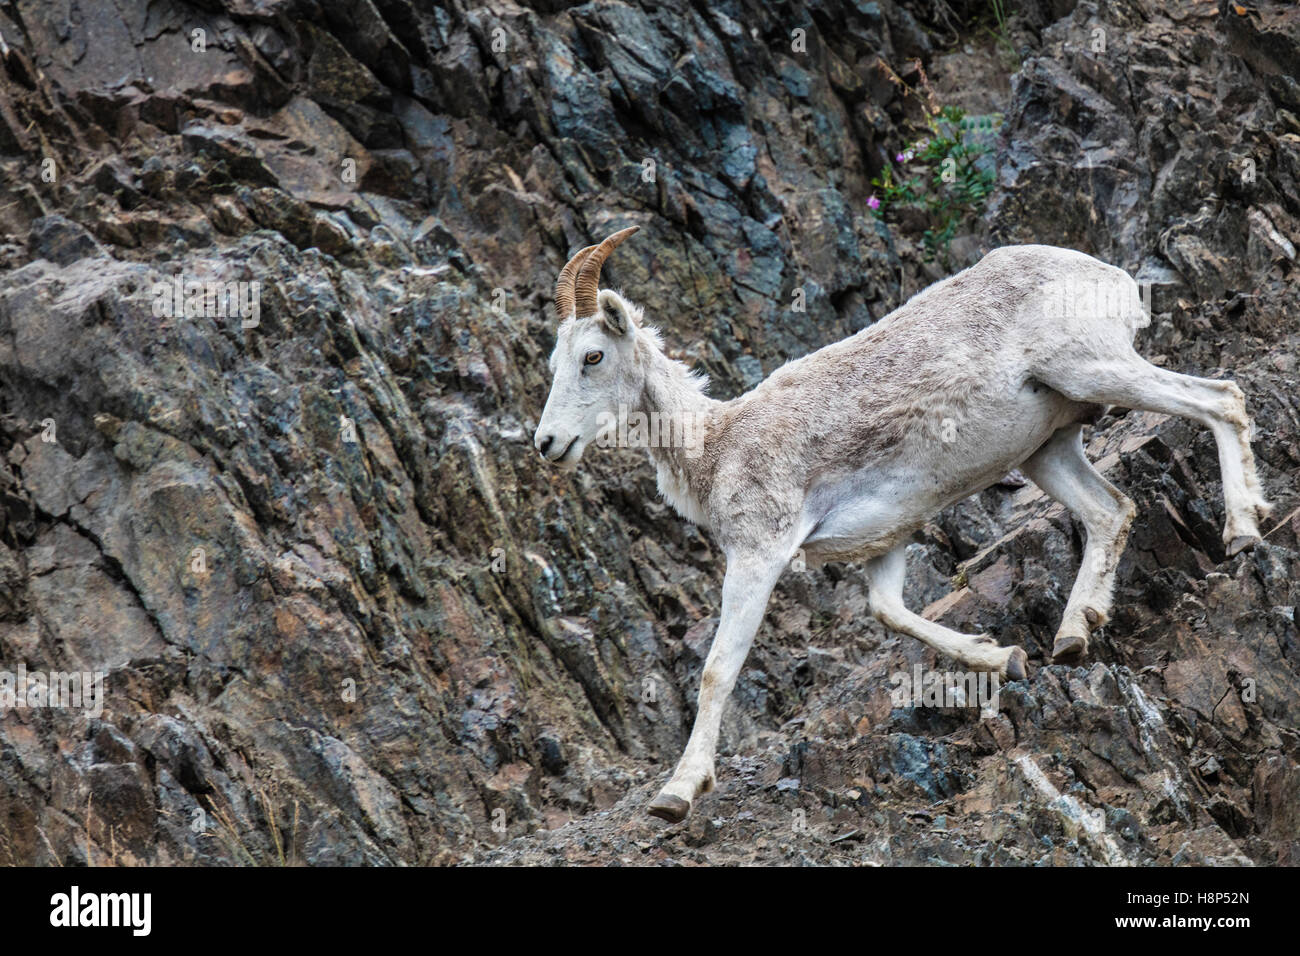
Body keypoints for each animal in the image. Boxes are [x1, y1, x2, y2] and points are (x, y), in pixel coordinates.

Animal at [534, 226, 1272, 823]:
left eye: (593, 356)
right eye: (553, 363)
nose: (547, 443)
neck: (716, 445)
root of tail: (1109, 278)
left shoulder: (761, 554)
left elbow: (718, 670)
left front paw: (677, 795)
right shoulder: (883, 543)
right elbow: (891, 612)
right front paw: (1003, 657)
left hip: (1093, 370)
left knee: (1221, 399)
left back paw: (1242, 531)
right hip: (1046, 447)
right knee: (1110, 510)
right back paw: (1071, 636)